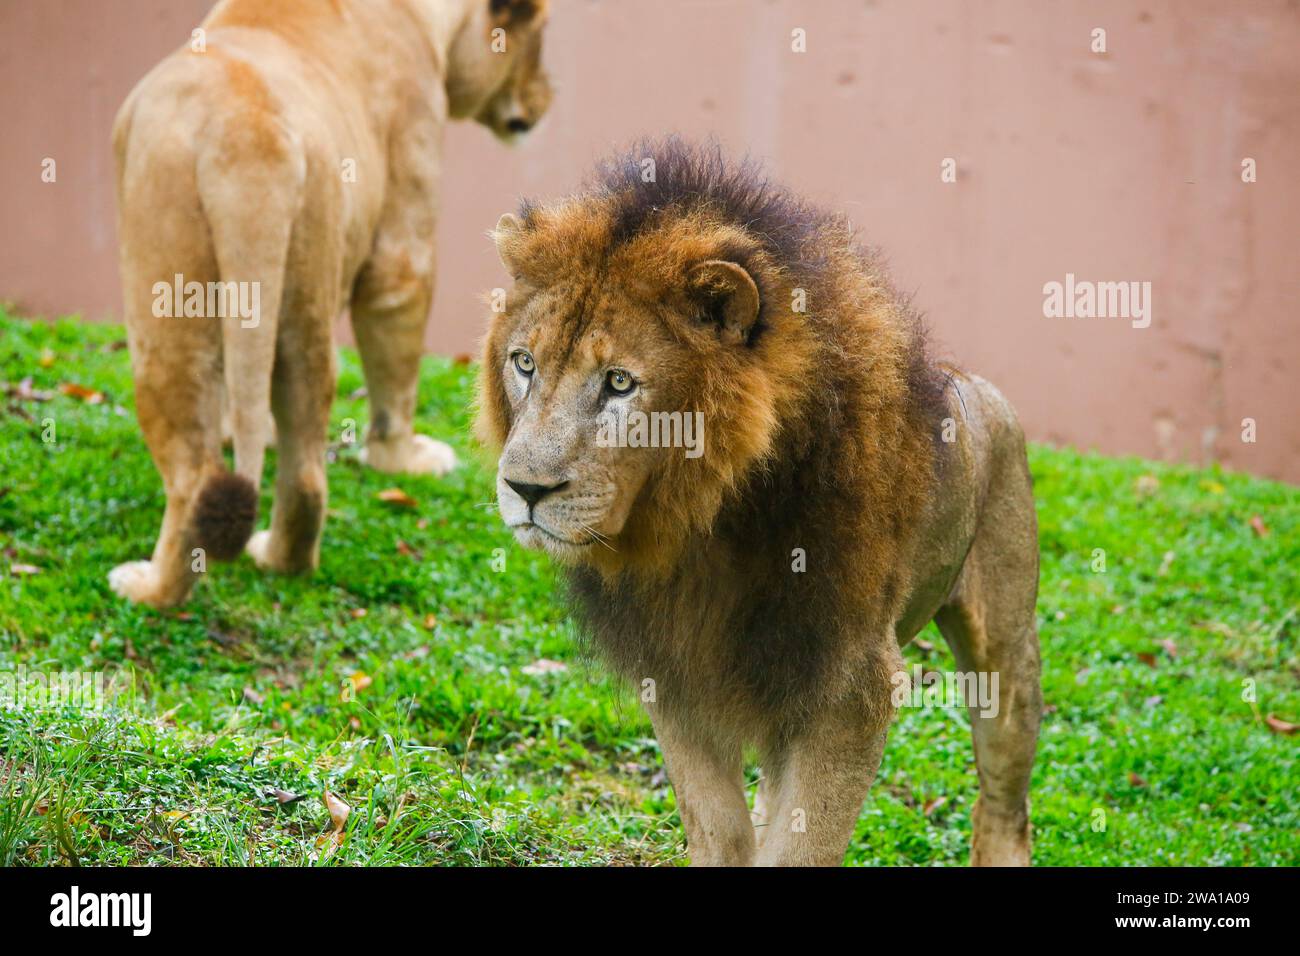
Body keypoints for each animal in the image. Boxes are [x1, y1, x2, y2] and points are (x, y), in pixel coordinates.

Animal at [108, 0, 552, 607]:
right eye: (541, 36)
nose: (544, 98)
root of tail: (247, 139)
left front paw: (398, 461)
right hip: (301, 277)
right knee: (303, 465)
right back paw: (269, 556)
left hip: (167, 286)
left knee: (198, 474)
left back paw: (150, 588)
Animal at [476, 139, 1043, 866]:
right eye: (524, 363)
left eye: (620, 383)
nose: (524, 489)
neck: (703, 525)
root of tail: (983, 387)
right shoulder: (679, 679)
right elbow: (721, 829)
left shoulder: (848, 686)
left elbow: (802, 845)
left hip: (1005, 652)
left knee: (1004, 800)